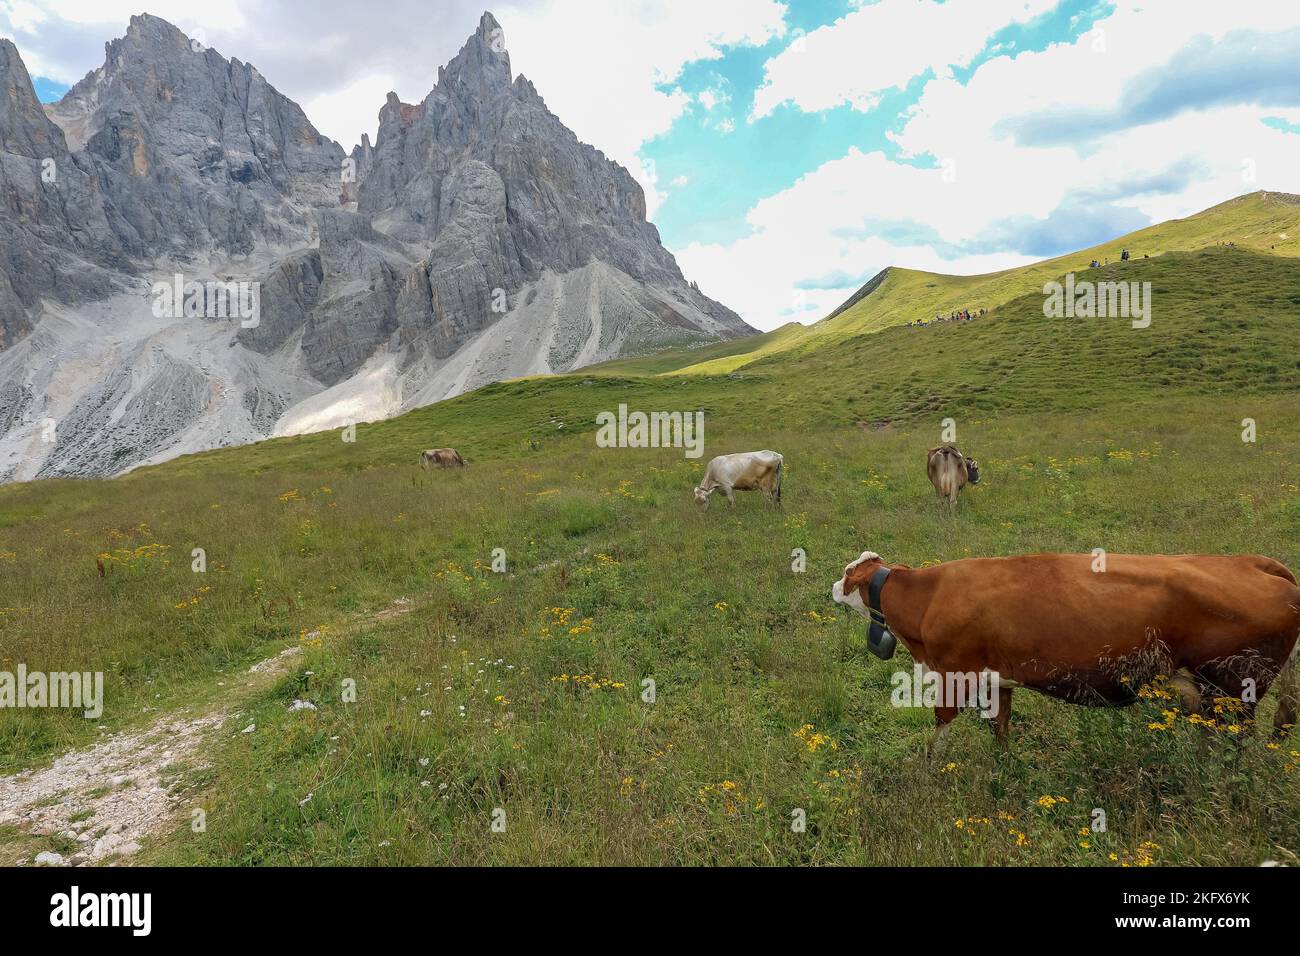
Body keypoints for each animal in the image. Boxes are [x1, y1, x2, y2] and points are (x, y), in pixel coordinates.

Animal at [831, 550, 1300, 751]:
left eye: (847, 572)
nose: (833, 586)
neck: (929, 595)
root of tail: (1255, 563)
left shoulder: (953, 673)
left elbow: (939, 730)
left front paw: (932, 770)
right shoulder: (999, 678)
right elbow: (1000, 726)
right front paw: (1004, 766)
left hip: (1233, 694)